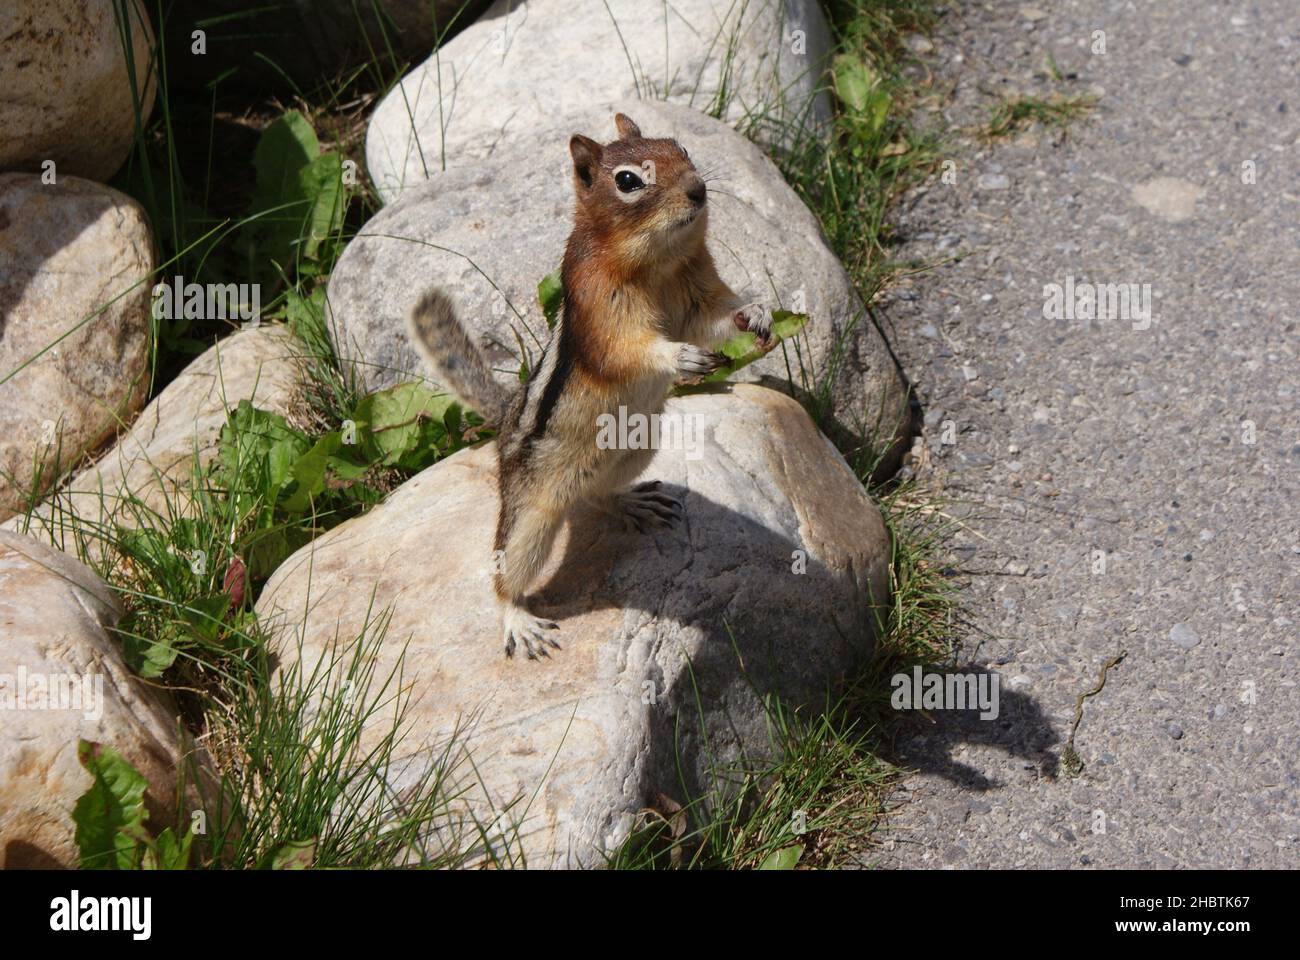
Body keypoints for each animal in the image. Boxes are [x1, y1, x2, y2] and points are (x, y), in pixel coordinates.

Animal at [408, 112, 771, 660]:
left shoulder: (697, 292)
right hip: (532, 513)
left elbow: (717, 319)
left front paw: (758, 309)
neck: (658, 261)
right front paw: (679, 356)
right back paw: (517, 620)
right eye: (628, 181)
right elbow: (629, 352)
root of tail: (505, 418)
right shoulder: (600, 310)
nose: (698, 188)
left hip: (635, 449)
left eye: (680, 147)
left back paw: (632, 503)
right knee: (506, 568)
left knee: (596, 495)